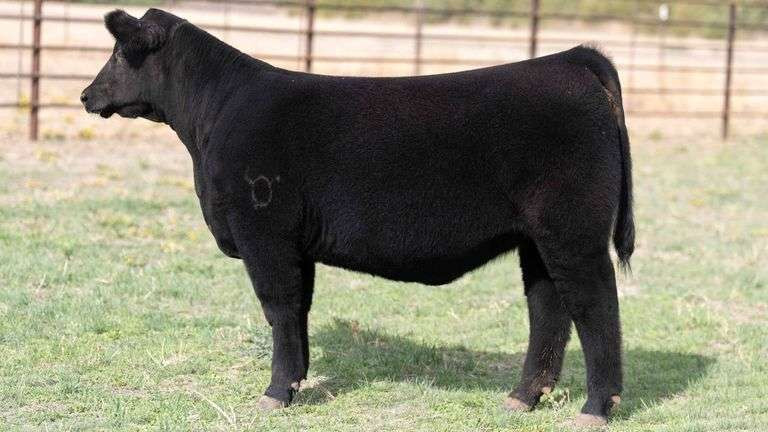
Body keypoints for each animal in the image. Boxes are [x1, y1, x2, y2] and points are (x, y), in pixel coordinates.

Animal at [81, 8, 634, 427]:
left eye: (119, 52)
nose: (86, 94)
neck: (214, 117)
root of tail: (569, 60)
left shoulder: (265, 234)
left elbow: (279, 308)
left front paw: (275, 393)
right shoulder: (295, 244)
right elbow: (299, 310)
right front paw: (296, 383)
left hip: (574, 232)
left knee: (595, 305)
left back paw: (596, 407)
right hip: (537, 239)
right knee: (548, 307)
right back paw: (523, 397)